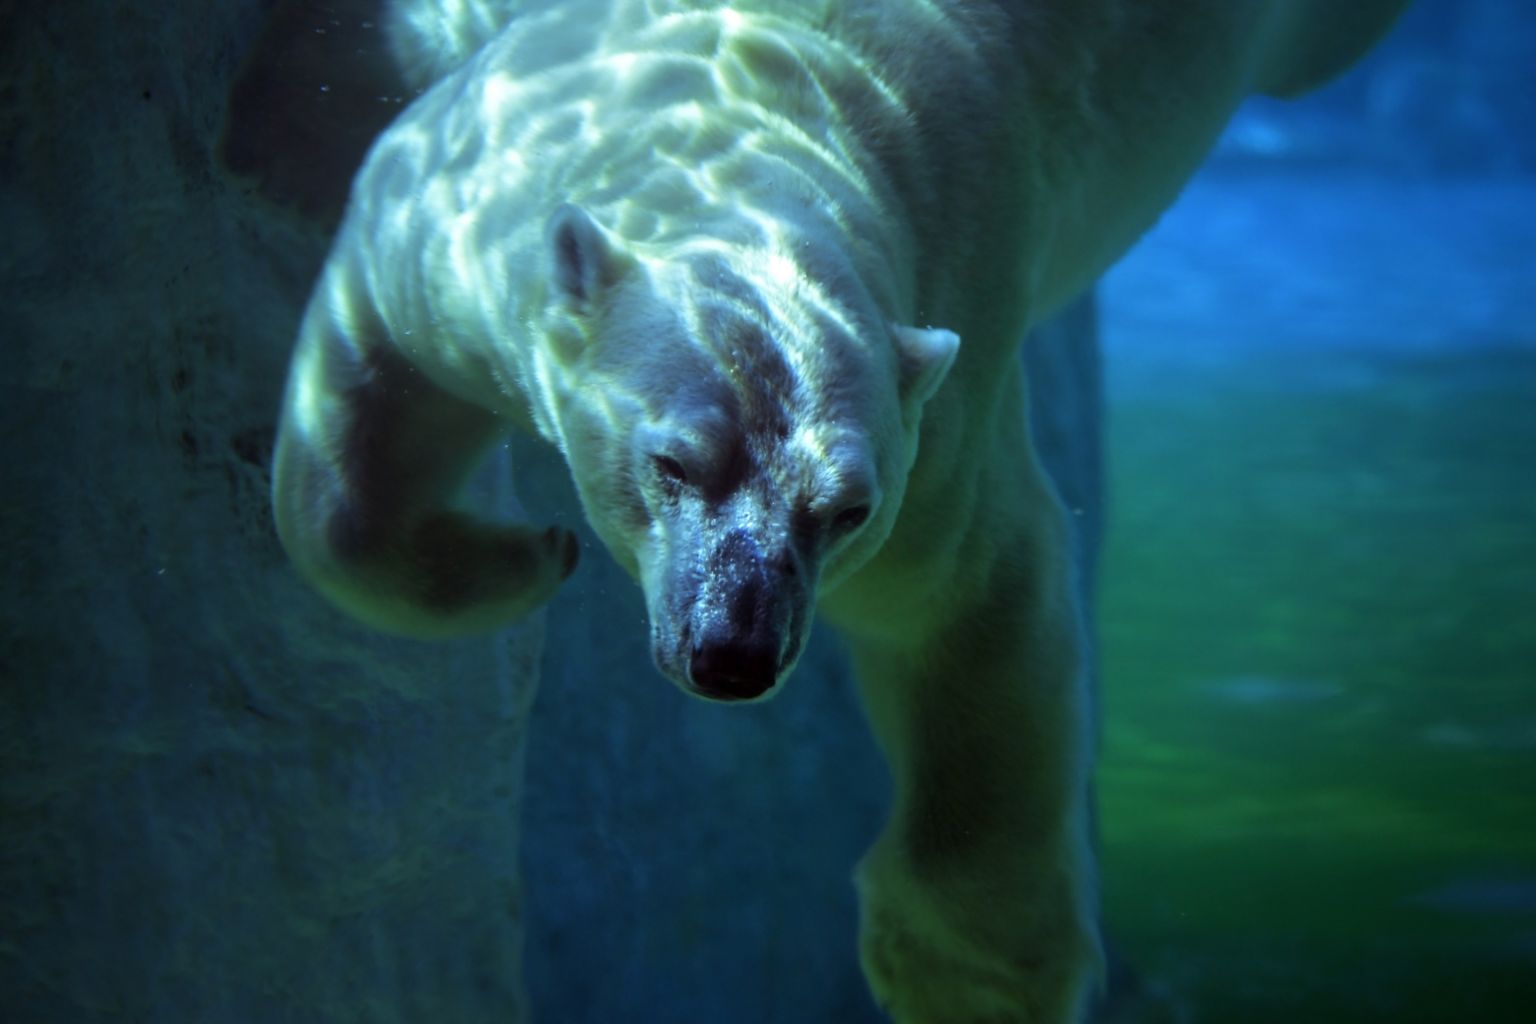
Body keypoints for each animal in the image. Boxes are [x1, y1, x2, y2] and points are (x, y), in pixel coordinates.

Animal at [270, 1, 1408, 1019]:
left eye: (846, 508)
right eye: (672, 461)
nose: (735, 651)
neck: (742, 101)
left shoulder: (945, 384)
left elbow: (978, 608)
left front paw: (968, 979)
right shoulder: (450, 219)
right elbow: (359, 410)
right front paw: (526, 553)